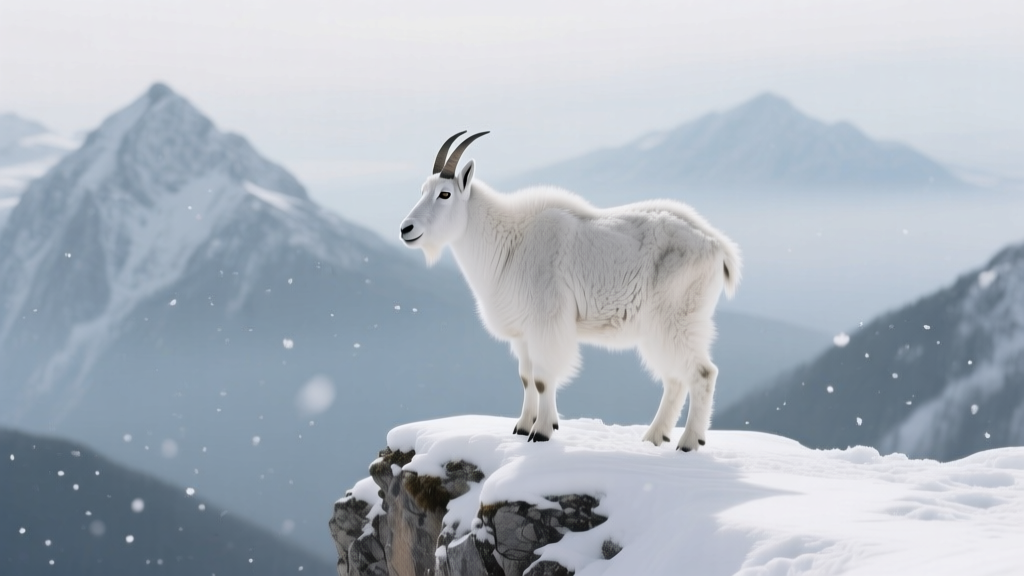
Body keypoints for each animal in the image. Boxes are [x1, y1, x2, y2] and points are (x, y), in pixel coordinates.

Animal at [399, 131, 741, 451]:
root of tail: (717, 246)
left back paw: (689, 442)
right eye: (422, 191)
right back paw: (654, 437)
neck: (509, 243)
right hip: (658, 329)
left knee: (702, 373)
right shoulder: (524, 334)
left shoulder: (547, 322)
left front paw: (542, 432)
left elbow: (542, 378)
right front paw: (523, 427)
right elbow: (526, 377)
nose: (406, 229)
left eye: (445, 193)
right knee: (674, 379)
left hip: (676, 319)